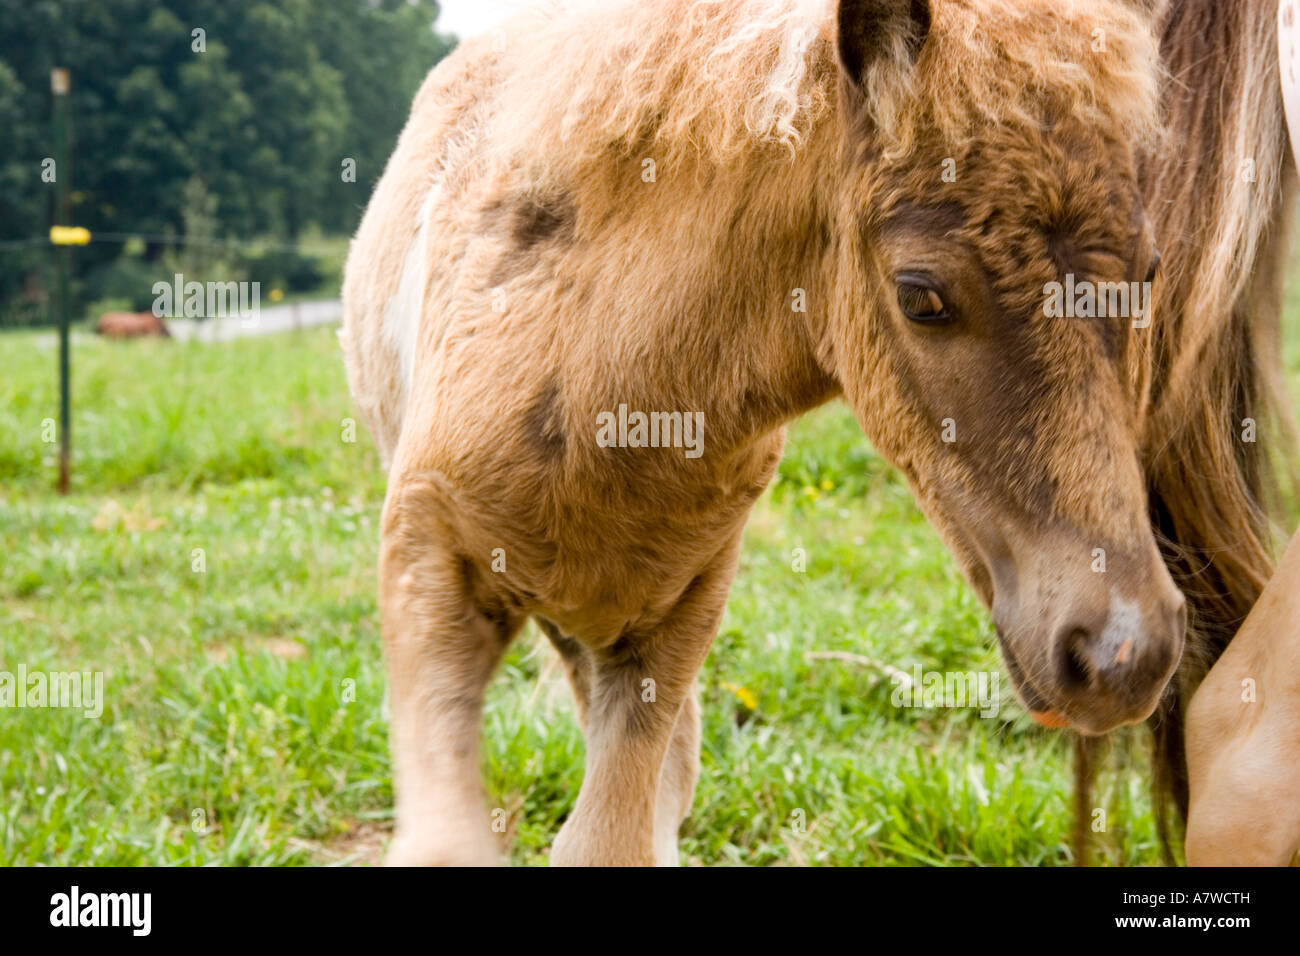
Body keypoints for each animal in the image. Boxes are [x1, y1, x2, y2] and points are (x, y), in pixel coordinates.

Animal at [342, 0, 1183, 866]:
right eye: (921, 296)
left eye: (1150, 273)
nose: (1124, 652)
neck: (597, 387)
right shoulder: (425, 554)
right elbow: (450, 840)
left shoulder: (679, 616)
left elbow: (614, 837)